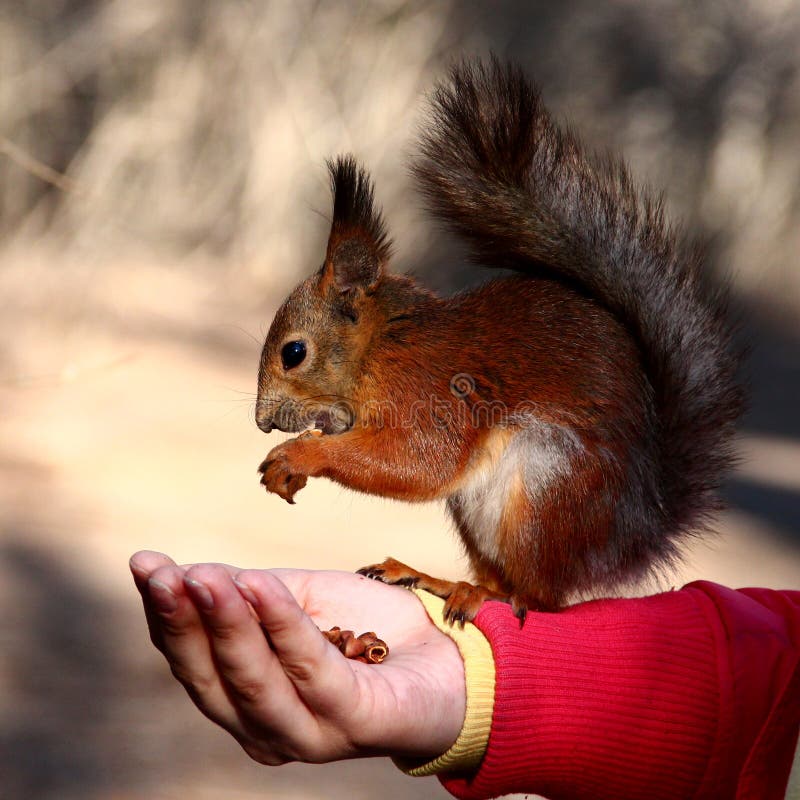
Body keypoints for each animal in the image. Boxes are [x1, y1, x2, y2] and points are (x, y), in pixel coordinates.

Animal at [255, 57, 744, 623]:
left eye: (294, 353)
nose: (263, 422)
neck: (381, 346)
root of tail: (631, 540)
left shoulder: (430, 391)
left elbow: (420, 462)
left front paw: (300, 456)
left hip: (547, 489)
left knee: (538, 597)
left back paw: (484, 593)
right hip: (481, 508)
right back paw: (436, 579)